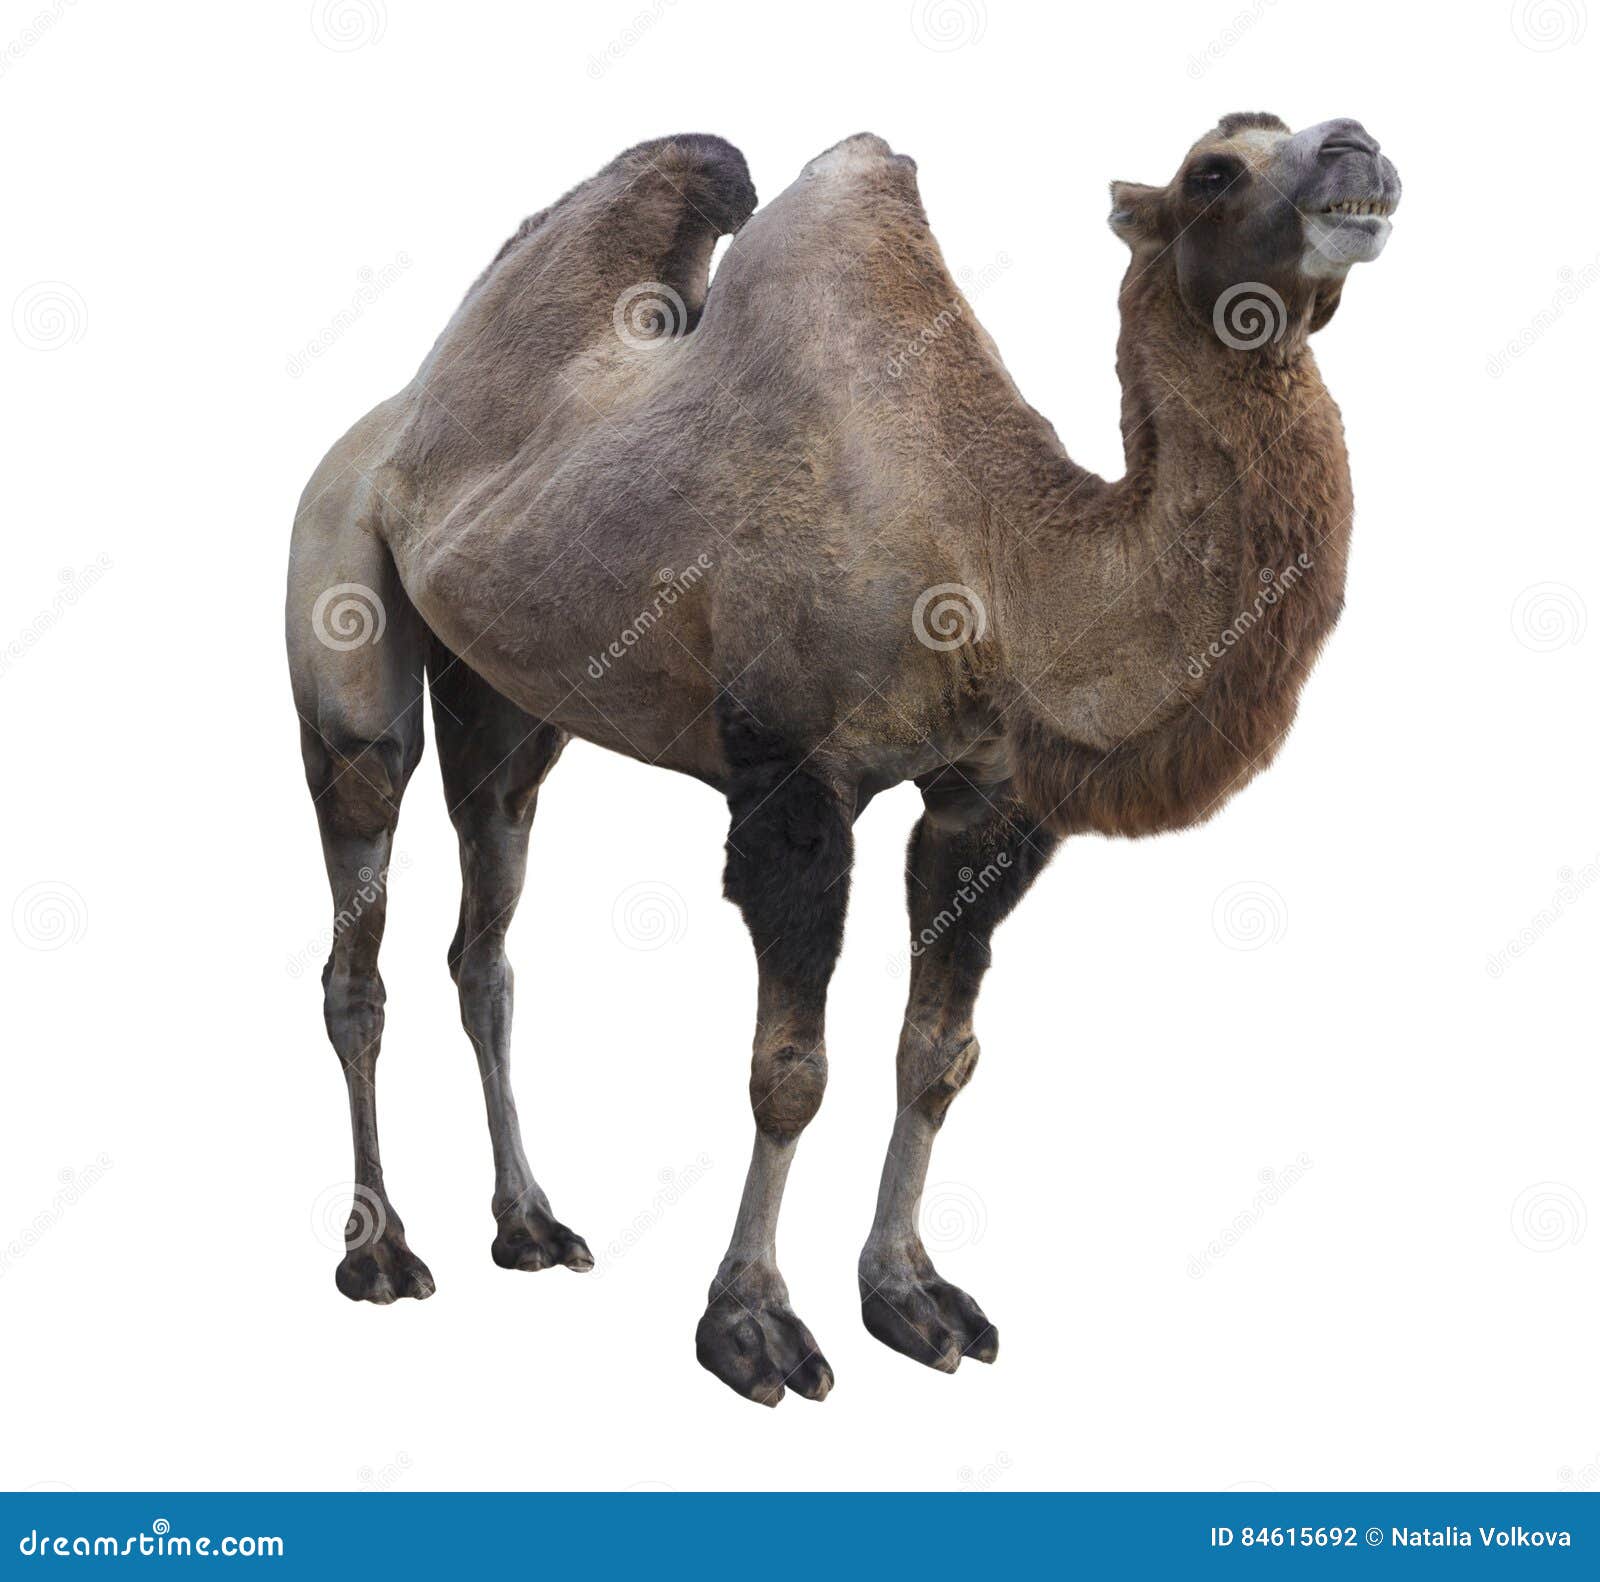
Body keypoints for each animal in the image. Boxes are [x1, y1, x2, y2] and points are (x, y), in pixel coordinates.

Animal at [286, 114, 1400, 1405]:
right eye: (1216, 168)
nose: (1357, 146)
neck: (996, 557)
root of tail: (375, 426)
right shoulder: (789, 782)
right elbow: (790, 1069)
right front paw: (750, 1323)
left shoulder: (985, 800)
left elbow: (938, 1055)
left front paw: (911, 1297)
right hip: (341, 608)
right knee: (357, 934)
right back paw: (379, 1252)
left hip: (508, 706)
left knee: (485, 943)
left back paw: (528, 1226)